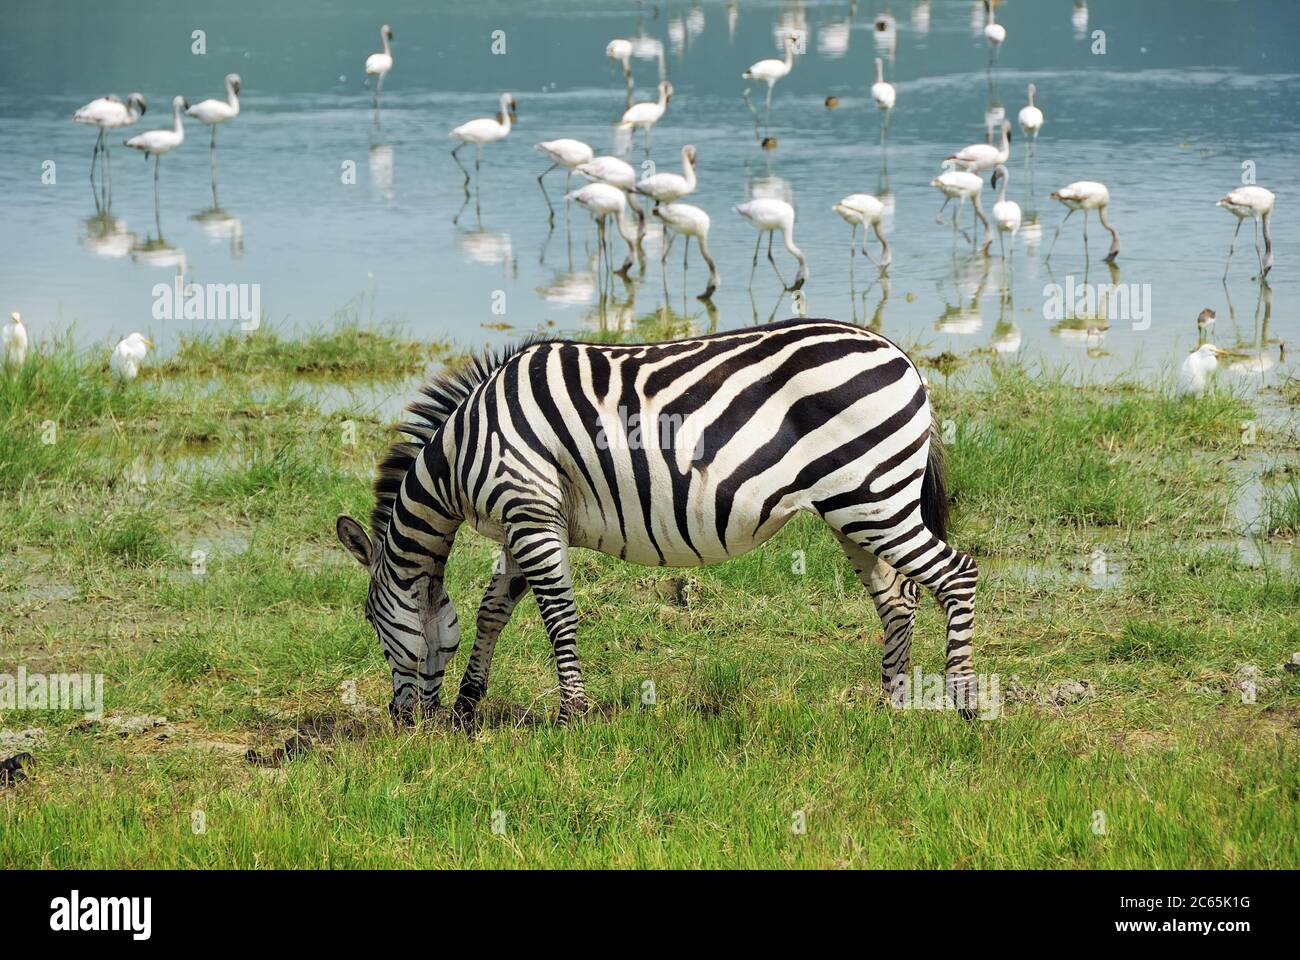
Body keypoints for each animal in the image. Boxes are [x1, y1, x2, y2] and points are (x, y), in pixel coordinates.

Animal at [335, 318, 978, 727]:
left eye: (369, 619)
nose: (401, 722)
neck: (461, 453)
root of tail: (903, 358)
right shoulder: (530, 517)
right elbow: (492, 610)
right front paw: (469, 707)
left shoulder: (531, 512)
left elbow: (558, 616)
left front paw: (572, 716)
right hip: (858, 507)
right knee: (898, 600)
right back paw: (891, 706)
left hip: (875, 498)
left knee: (957, 575)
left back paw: (967, 704)